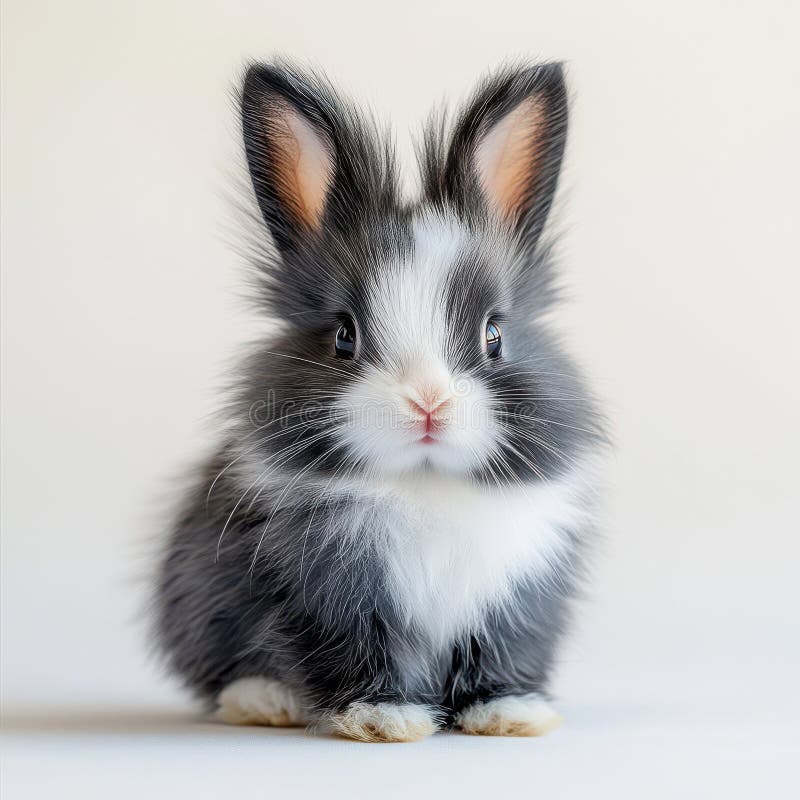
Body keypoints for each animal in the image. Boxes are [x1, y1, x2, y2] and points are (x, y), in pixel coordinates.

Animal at [153, 60, 605, 743]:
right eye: (344, 335)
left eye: (495, 335)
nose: (428, 403)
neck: (425, 484)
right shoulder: (326, 599)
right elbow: (356, 653)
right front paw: (385, 720)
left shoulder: (517, 597)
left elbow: (502, 652)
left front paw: (509, 714)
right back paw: (266, 702)